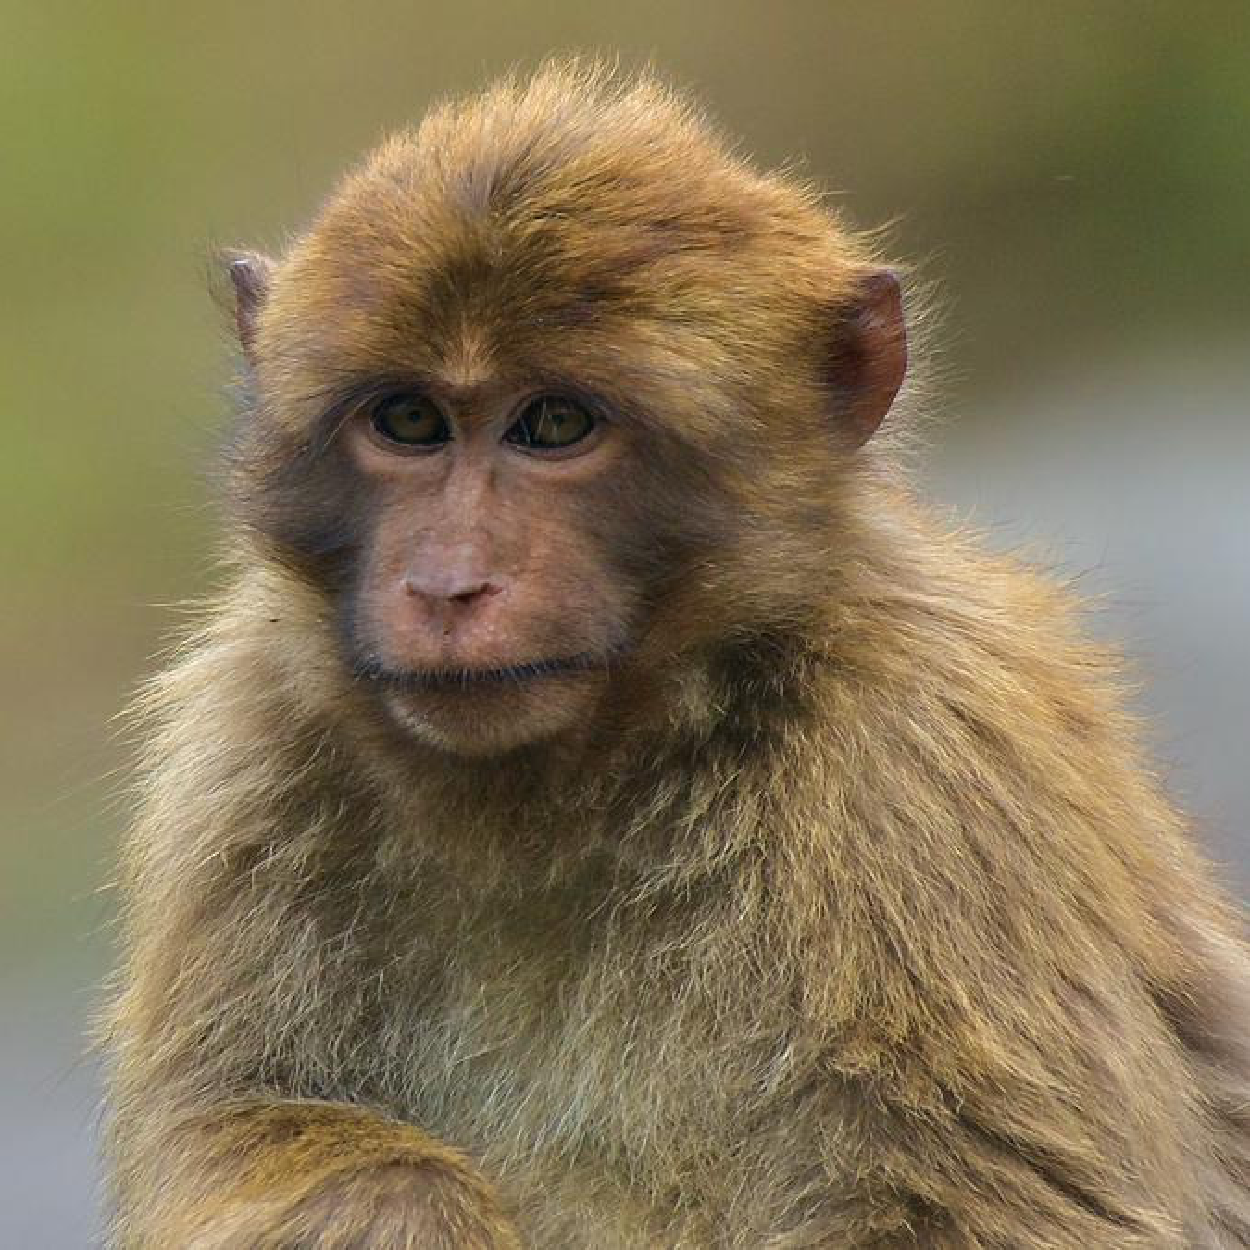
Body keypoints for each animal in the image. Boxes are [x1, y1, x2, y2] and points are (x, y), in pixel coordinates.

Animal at [103, 61, 1250, 1248]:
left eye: (554, 425)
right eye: (410, 421)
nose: (446, 585)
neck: (586, 781)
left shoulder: (926, 766)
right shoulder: (248, 751)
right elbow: (234, 1111)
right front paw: (389, 1203)